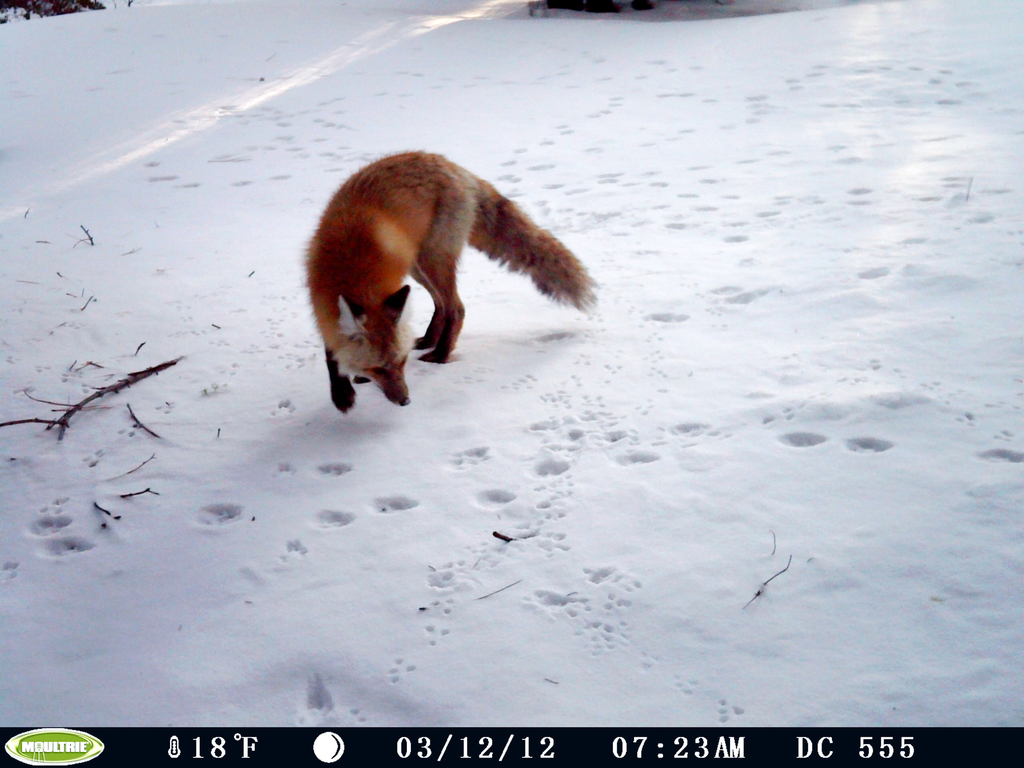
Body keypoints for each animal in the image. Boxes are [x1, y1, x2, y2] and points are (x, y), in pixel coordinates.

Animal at [306, 151, 596, 413]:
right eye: (377, 368)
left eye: (402, 362)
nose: (405, 401)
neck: (351, 269)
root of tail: (456, 167)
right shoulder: (319, 300)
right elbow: (330, 349)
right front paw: (342, 391)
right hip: (417, 267)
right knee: (441, 305)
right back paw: (429, 340)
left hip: (432, 259)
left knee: (456, 307)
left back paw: (441, 355)